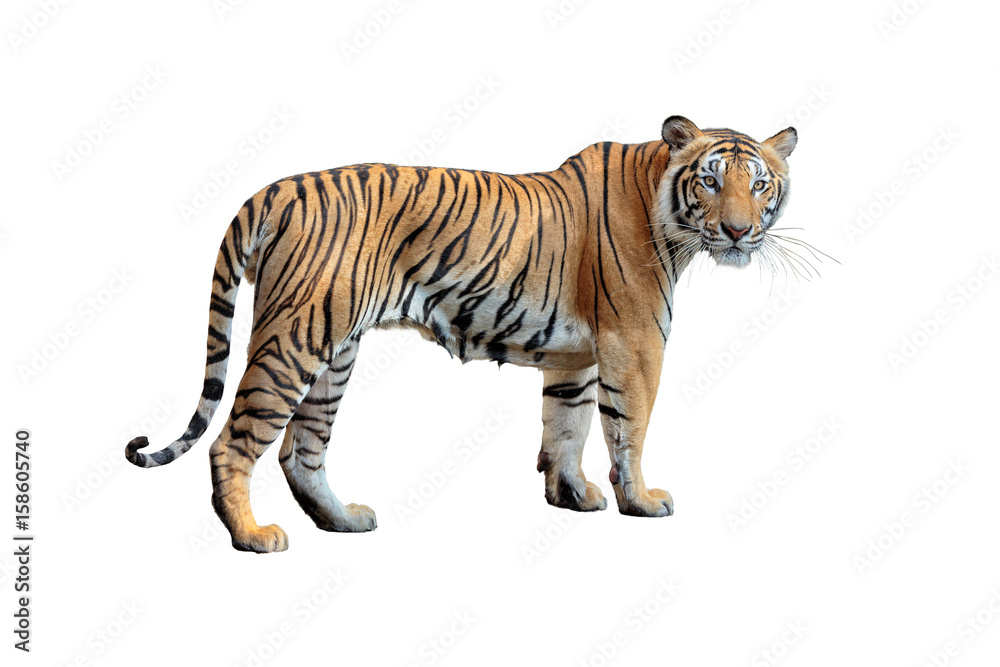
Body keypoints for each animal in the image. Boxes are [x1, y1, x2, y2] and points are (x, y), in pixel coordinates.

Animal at [125, 115, 797, 553]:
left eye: (760, 183)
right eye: (711, 181)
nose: (739, 232)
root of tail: (276, 188)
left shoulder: (574, 356)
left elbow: (568, 425)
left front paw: (571, 495)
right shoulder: (635, 345)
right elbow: (626, 427)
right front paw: (641, 500)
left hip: (336, 351)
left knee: (302, 449)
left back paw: (344, 522)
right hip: (296, 338)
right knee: (234, 442)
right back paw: (251, 536)